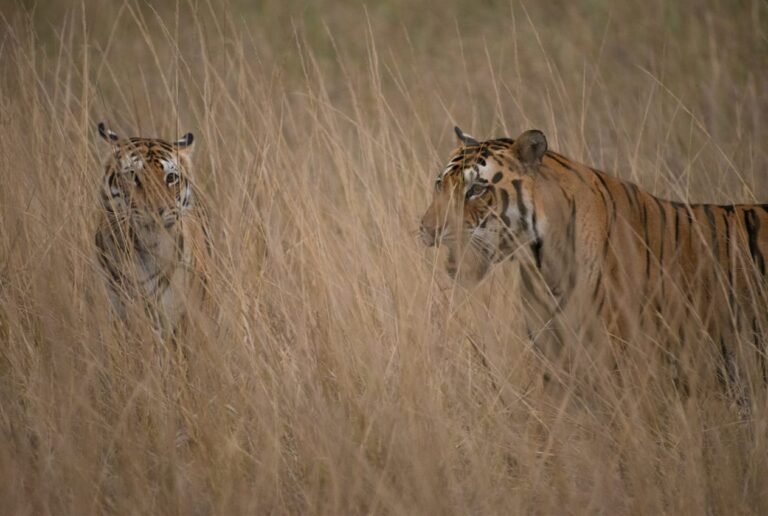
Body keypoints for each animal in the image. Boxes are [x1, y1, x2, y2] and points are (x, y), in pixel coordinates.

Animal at [420, 126, 768, 404]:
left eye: (476, 190)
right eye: (439, 184)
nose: (427, 228)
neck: (542, 264)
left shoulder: (619, 363)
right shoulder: (553, 358)